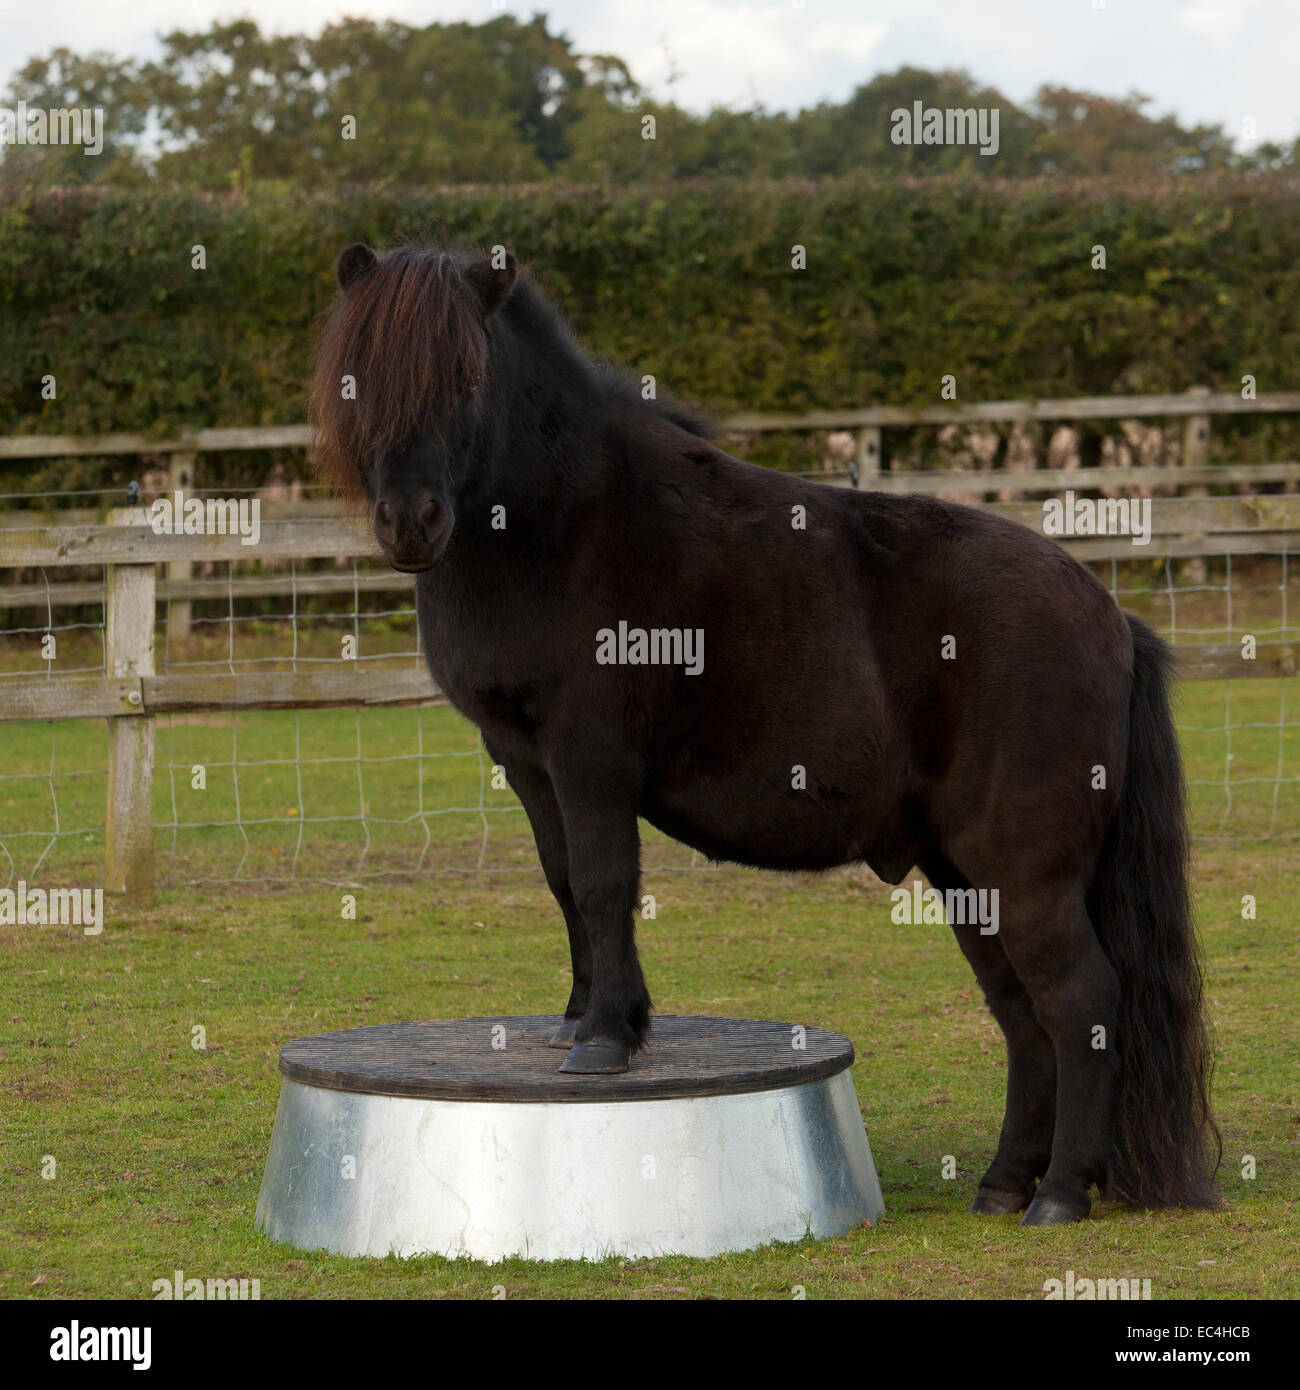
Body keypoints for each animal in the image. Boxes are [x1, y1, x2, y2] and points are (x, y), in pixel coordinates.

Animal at [309, 240, 1220, 1226]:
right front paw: (586, 1013)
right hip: (964, 873)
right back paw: (1004, 1183)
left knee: (1079, 1000)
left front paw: (604, 1038)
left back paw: (1057, 1194)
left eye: (467, 377)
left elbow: (602, 884)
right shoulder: (524, 761)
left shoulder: (589, 757)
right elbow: (563, 886)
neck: (560, 519)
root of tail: (1110, 617)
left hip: (1025, 871)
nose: (411, 521)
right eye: (359, 377)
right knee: (1023, 1015)